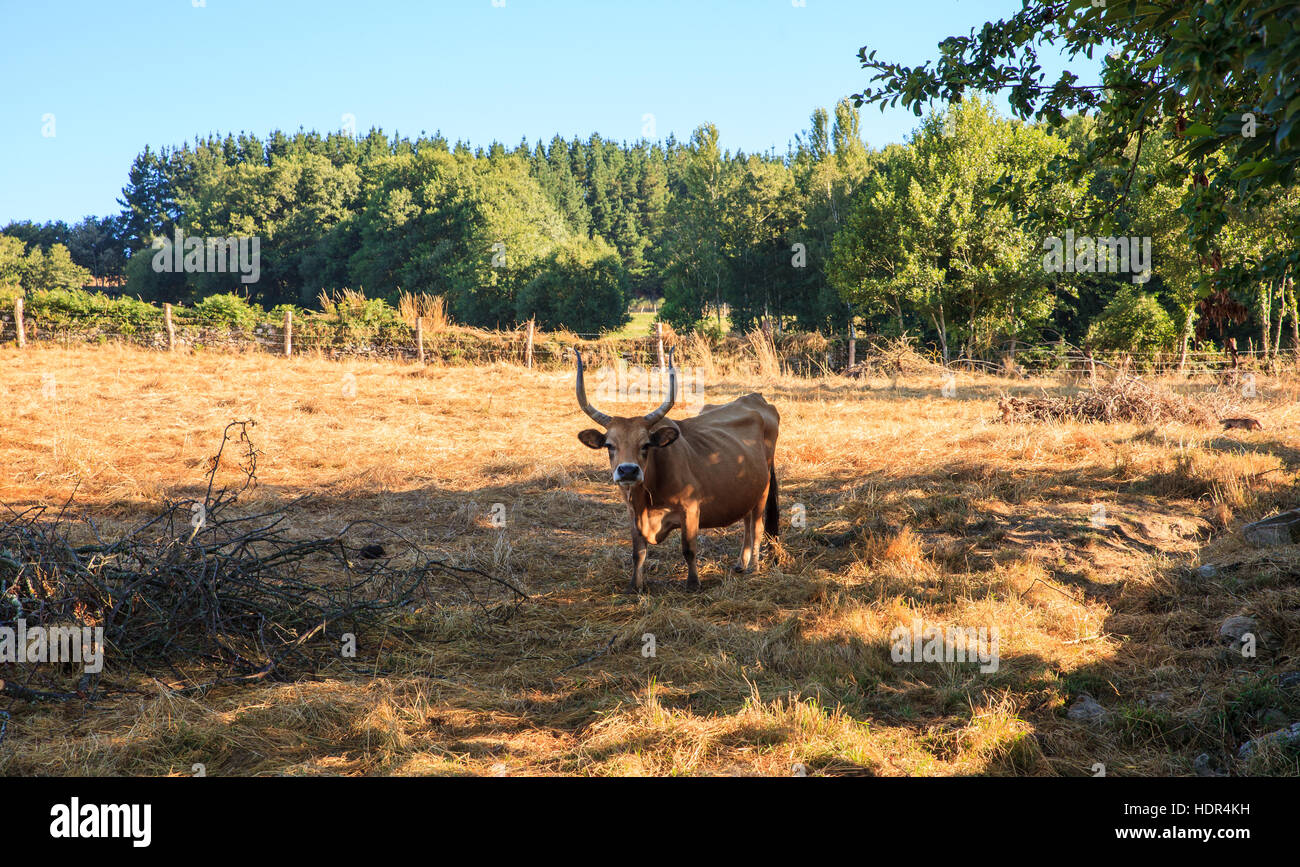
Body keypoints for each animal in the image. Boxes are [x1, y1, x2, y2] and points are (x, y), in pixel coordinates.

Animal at [573, 347, 780, 592]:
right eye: (609, 445)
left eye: (646, 445)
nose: (628, 471)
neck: (648, 499)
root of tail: (755, 398)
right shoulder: (633, 513)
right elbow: (638, 553)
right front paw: (635, 585)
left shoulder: (690, 509)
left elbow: (688, 549)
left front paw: (693, 583)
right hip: (747, 487)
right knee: (747, 523)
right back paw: (741, 563)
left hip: (763, 489)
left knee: (757, 526)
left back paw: (754, 567)